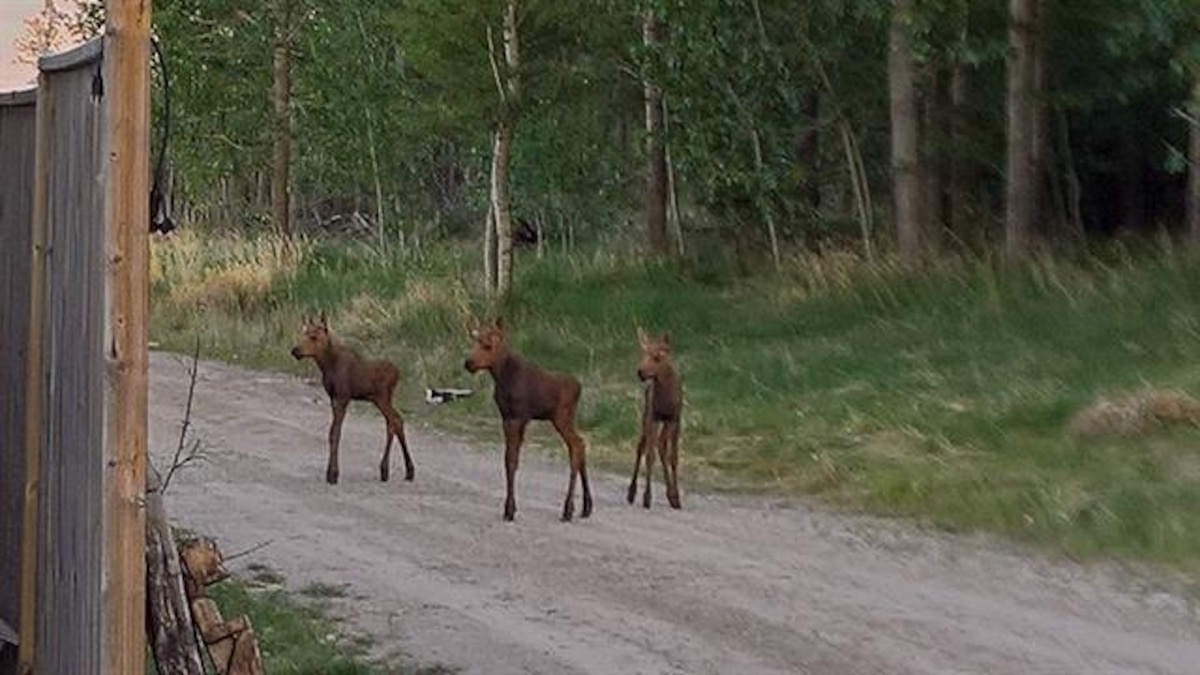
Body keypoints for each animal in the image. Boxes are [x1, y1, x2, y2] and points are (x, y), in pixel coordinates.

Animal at [290, 314, 414, 485]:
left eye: (314, 336)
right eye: (304, 333)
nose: (295, 350)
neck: (327, 364)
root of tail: (398, 374)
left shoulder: (343, 397)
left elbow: (336, 433)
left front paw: (333, 474)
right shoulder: (333, 398)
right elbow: (332, 433)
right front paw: (330, 472)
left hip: (382, 398)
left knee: (395, 421)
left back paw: (407, 471)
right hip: (380, 399)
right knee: (393, 422)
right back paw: (387, 470)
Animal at [463, 317, 593, 522]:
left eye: (488, 345)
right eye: (473, 341)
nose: (469, 363)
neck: (502, 376)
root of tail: (579, 387)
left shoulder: (519, 417)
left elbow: (512, 460)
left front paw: (509, 509)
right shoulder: (506, 416)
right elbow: (508, 460)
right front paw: (510, 508)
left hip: (561, 417)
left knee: (576, 446)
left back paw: (568, 509)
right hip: (567, 418)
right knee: (580, 444)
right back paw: (586, 506)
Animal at [627, 328, 682, 509]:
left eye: (657, 357)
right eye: (643, 353)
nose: (640, 372)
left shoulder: (675, 418)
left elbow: (673, 457)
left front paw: (676, 496)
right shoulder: (652, 416)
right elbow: (650, 456)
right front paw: (647, 496)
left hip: (664, 422)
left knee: (661, 446)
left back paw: (670, 495)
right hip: (646, 416)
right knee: (642, 446)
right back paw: (631, 492)